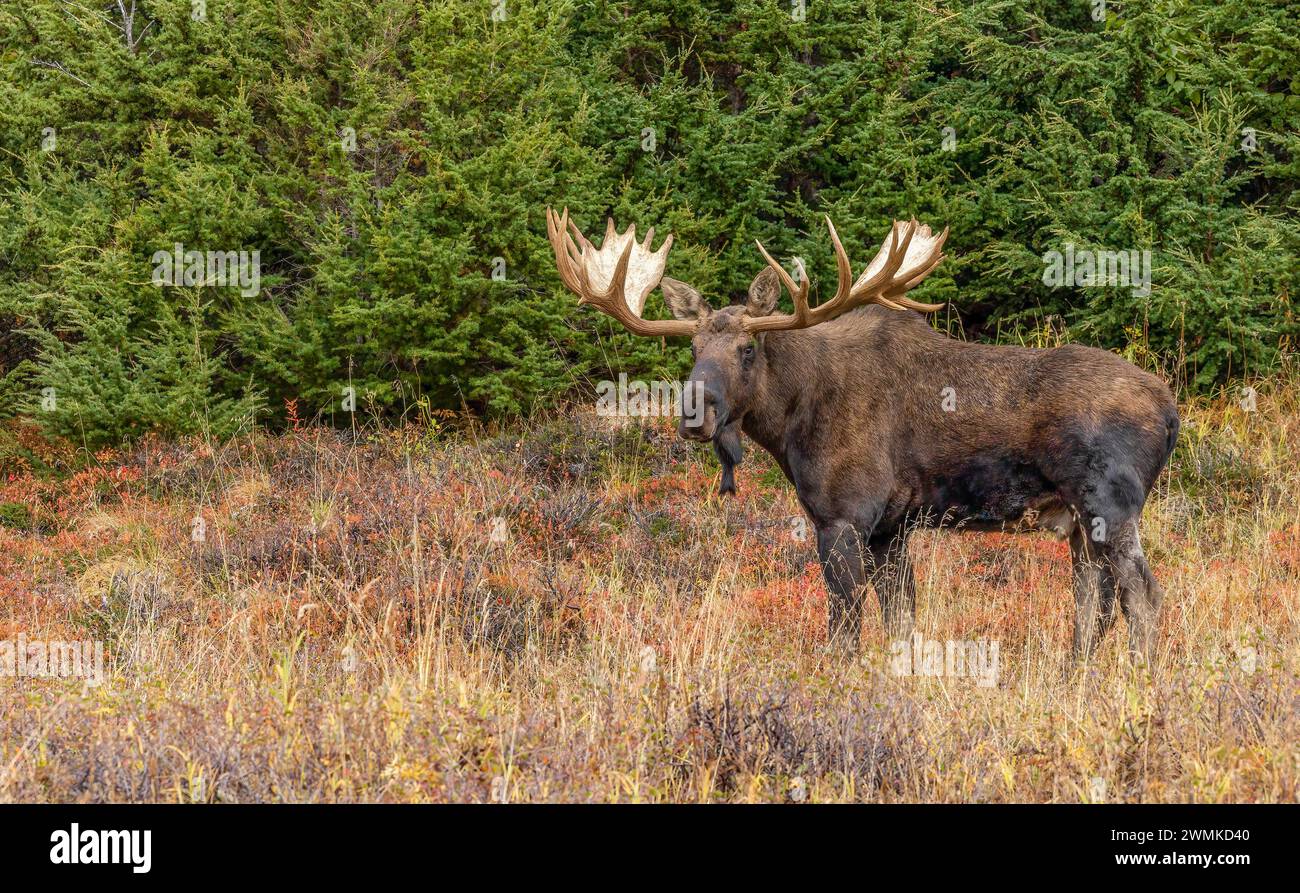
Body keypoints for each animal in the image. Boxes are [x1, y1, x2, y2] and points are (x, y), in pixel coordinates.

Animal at [545, 208, 1179, 664]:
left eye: (747, 348)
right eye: (694, 347)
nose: (693, 415)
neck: (792, 425)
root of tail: (1171, 412)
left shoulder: (843, 514)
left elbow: (845, 628)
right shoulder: (891, 527)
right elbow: (901, 622)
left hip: (1109, 504)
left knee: (1143, 596)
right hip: (1077, 523)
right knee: (1094, 605)